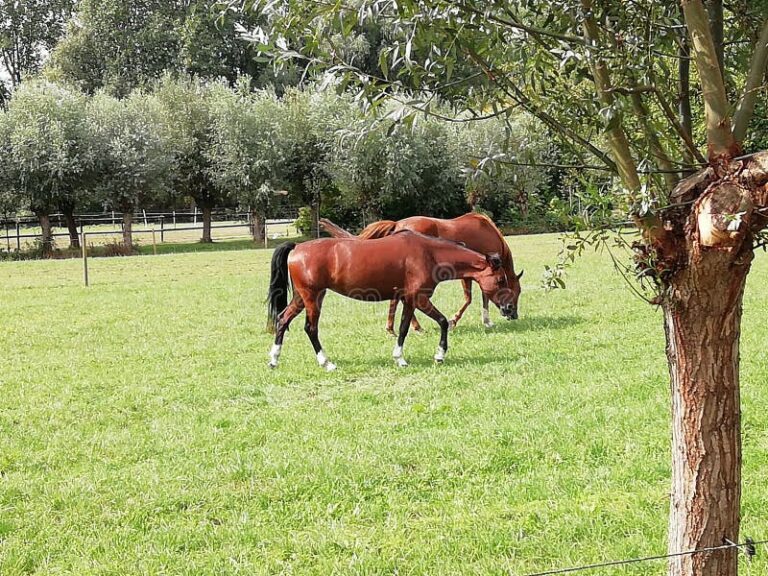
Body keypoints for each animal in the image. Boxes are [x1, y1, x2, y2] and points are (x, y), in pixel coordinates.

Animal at [266, 231, 515, 371]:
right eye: (500, 280)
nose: (510, 309)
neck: (429, 253)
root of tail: (297, 247)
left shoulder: (407, 300)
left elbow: (404, 327)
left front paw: (400, 357)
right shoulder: (418, 298)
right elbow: (441, 322)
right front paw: (437, 355)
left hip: (301, 298)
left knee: (283, 320)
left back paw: (274, 359)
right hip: (313, 297)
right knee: (311, 328)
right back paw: (326, 363)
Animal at [319, 213, 523, 333]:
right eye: (516, 291)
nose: (513, 314)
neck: (490, 233)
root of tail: (397, 224)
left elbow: (480, 297)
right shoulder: (473, 273)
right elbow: (472, 298)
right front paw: (457, 320)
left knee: (395, 299)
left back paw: (393, 328)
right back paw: (414, 327)